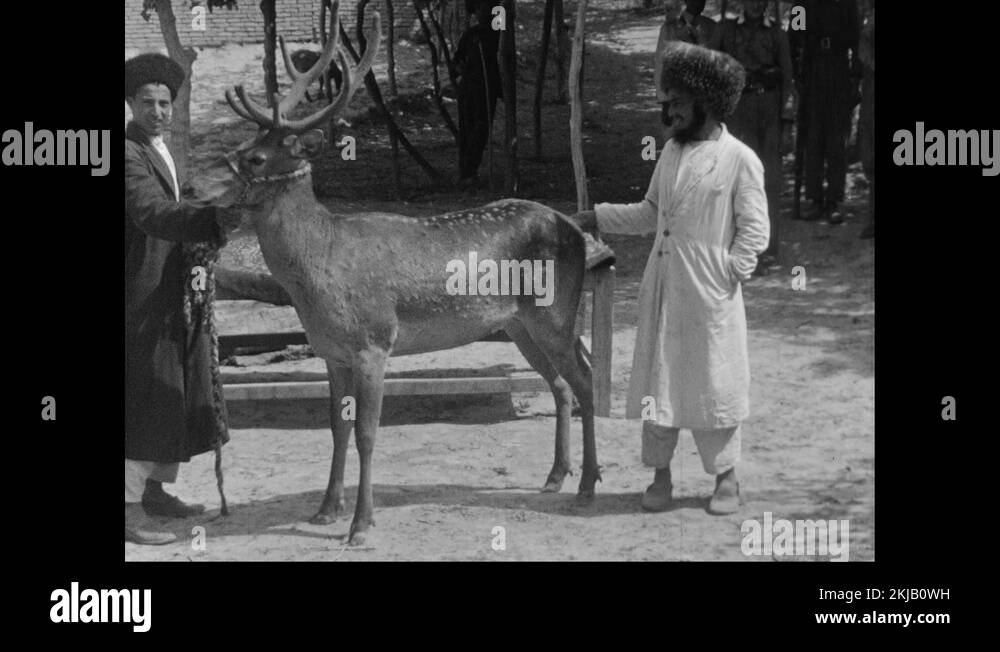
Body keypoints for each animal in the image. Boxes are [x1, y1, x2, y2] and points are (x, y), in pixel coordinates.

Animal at [204, 2, 600, 546]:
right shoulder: (331, 352)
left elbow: (367, 434)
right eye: (243, 145)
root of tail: (575, 228)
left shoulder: (374, 341)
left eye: (257, 157)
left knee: (585, 378)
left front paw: (360, 523)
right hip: (519, 324)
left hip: (556, 311)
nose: (201, 191)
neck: (318, 277)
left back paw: (587, 485)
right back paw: (555, 475)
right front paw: (325, 510)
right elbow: (336, 428)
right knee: (560, 384)